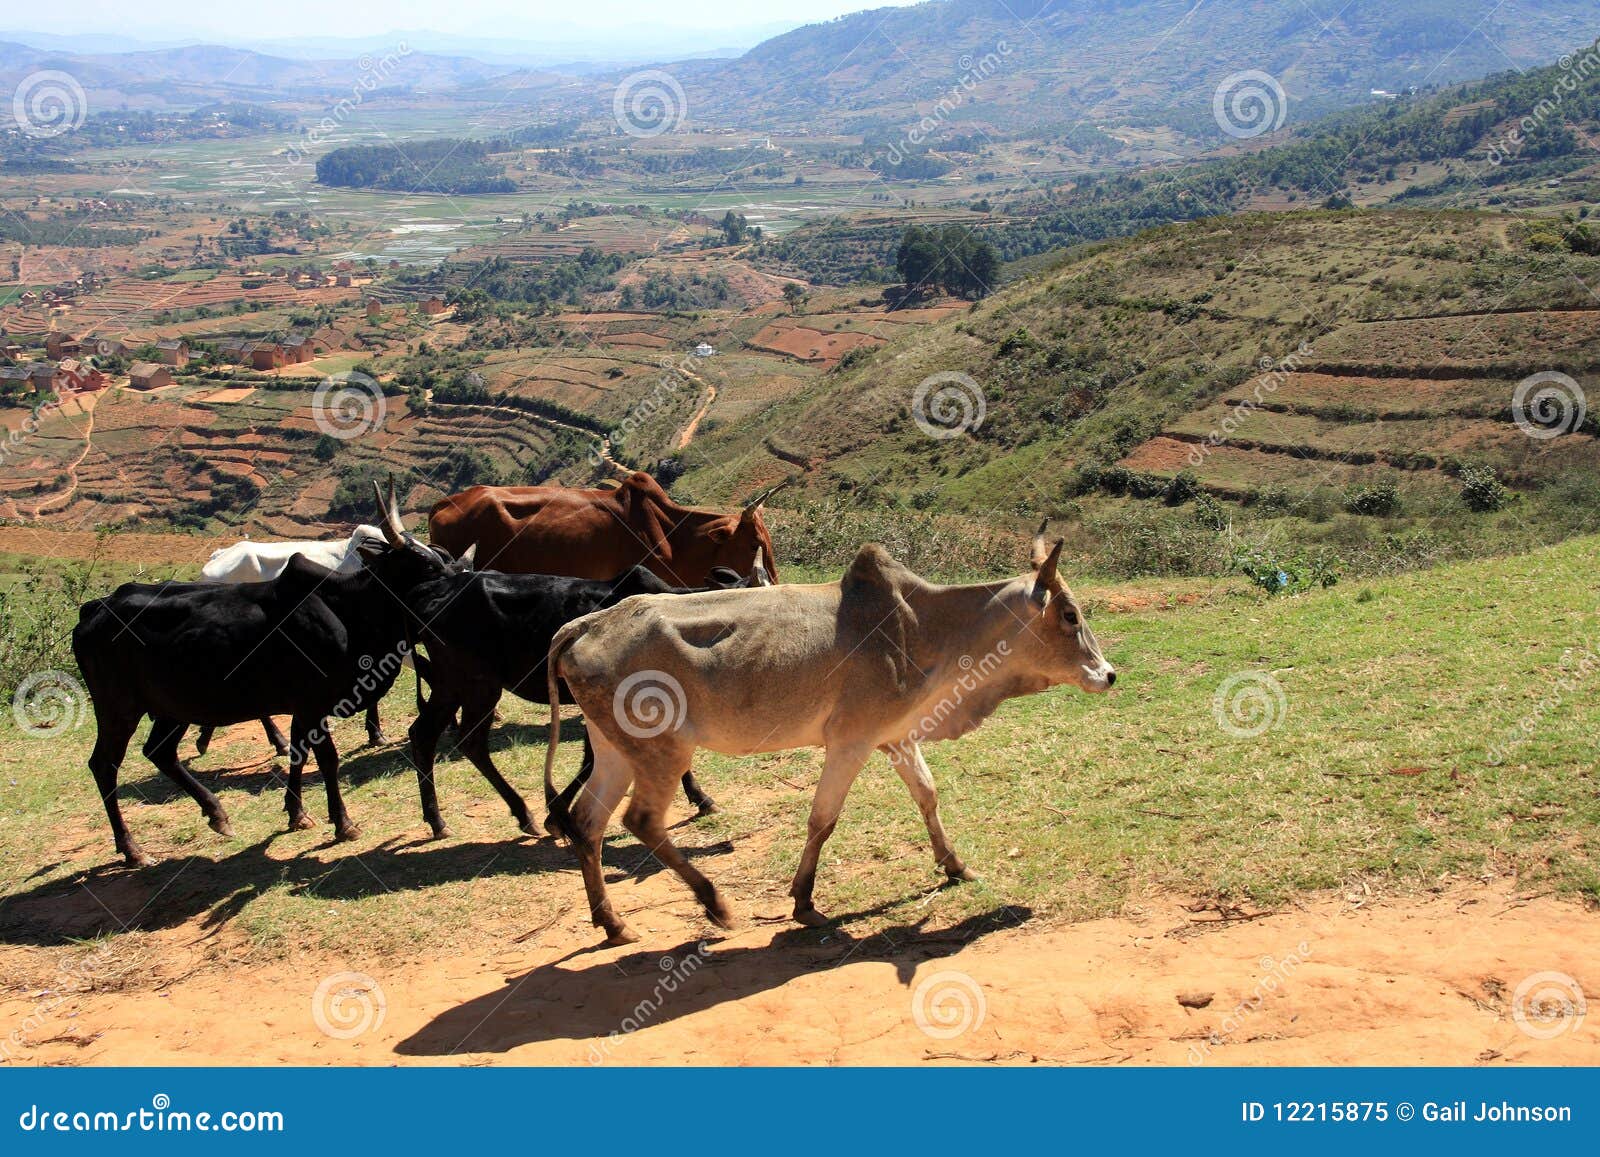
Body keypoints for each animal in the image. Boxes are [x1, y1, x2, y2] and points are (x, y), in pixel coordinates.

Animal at [401, 560, 766, 840]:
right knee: (453, 738)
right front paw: (555, 815)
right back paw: (463, 819)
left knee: (439, 737)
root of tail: (430, 591)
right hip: (473, 685)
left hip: (456, 687)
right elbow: (594, 759)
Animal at [542, 522, 1117, 945]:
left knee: (587, 822)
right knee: (641, 821)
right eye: (1070, 615)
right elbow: (823, 820)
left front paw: (955, 865)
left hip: (614, 751)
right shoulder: (851, 743)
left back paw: (613, 923)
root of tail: (586, 625)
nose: (1108, 674)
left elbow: (927, 796)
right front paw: (804, 901)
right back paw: (715, 904)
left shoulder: (897, 737)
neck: (924, 629)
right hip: (662, 753)